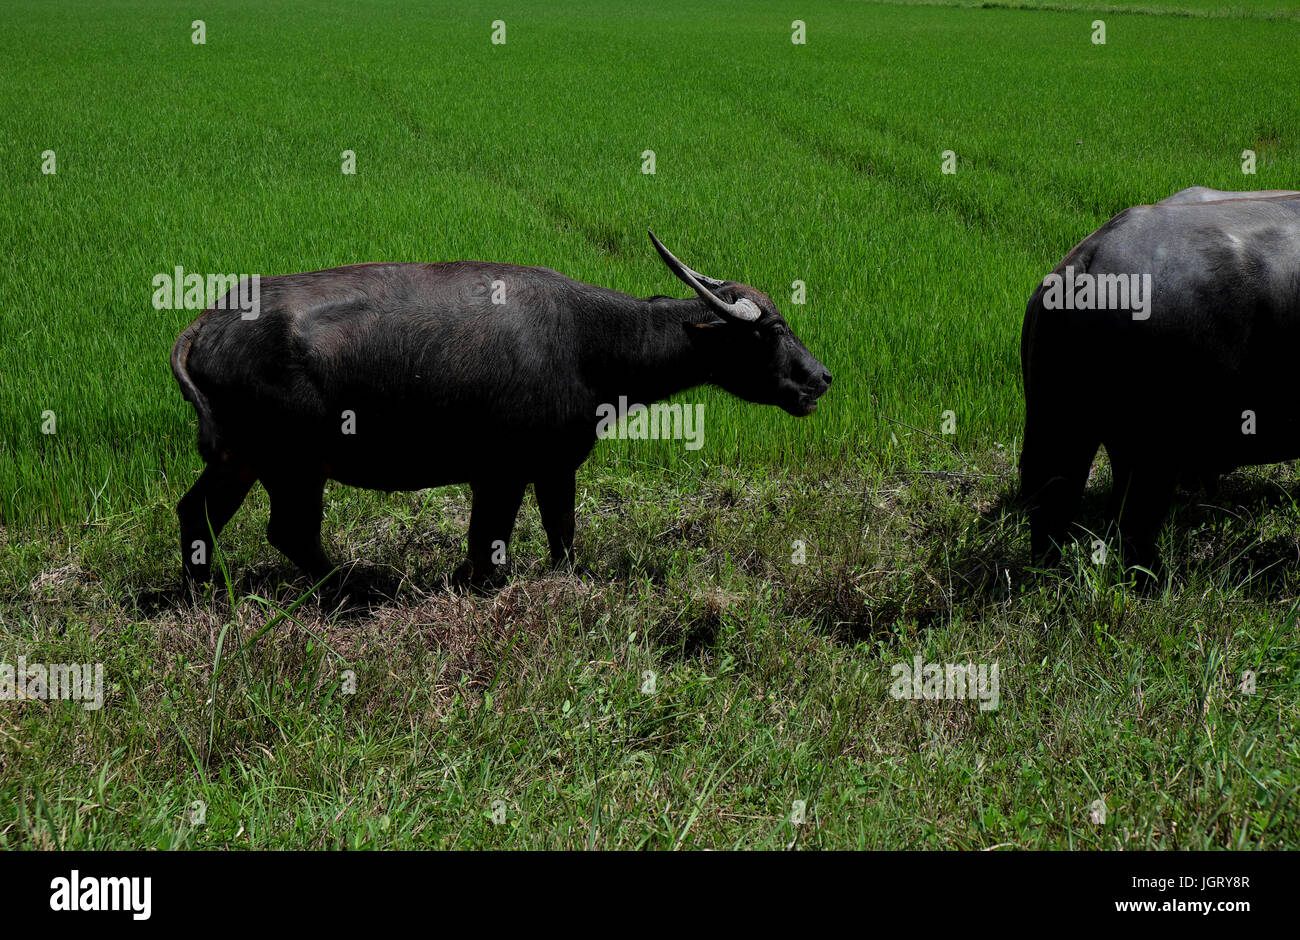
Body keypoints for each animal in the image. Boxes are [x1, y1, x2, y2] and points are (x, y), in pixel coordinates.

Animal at [171, 232, 832, 590]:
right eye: (772, 329)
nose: (821, 379)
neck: (588, 341)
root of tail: (207, 322)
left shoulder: (554, 466)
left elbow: (561, 531)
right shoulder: (503, 473)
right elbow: (491, 540)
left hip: (240, 459)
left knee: (197, 514)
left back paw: (208, 589)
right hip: (295, 466)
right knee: (291, 531)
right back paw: (354, 585)